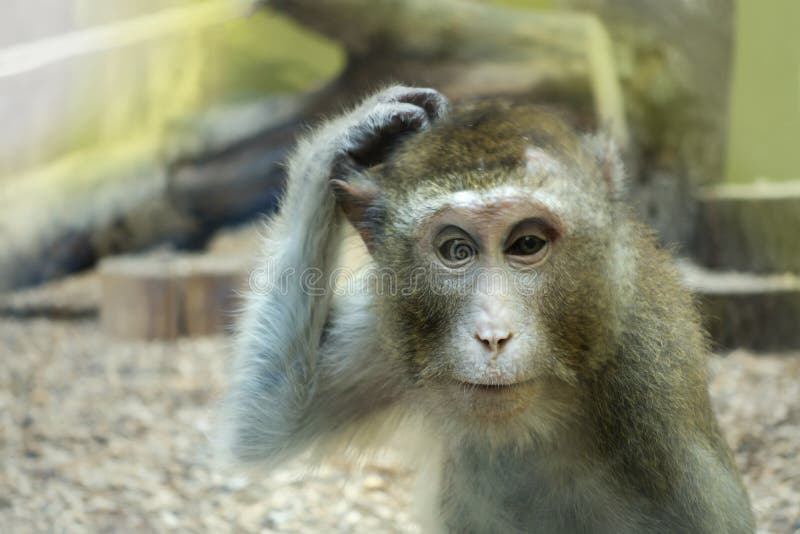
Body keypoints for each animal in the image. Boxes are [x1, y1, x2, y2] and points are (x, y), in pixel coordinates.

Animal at [216, 85, 754, 533]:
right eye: (456, 250)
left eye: (527, 243)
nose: (493, 336)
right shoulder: (395, 326)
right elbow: (271, 418)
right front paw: (347, 137)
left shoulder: (646, 378)